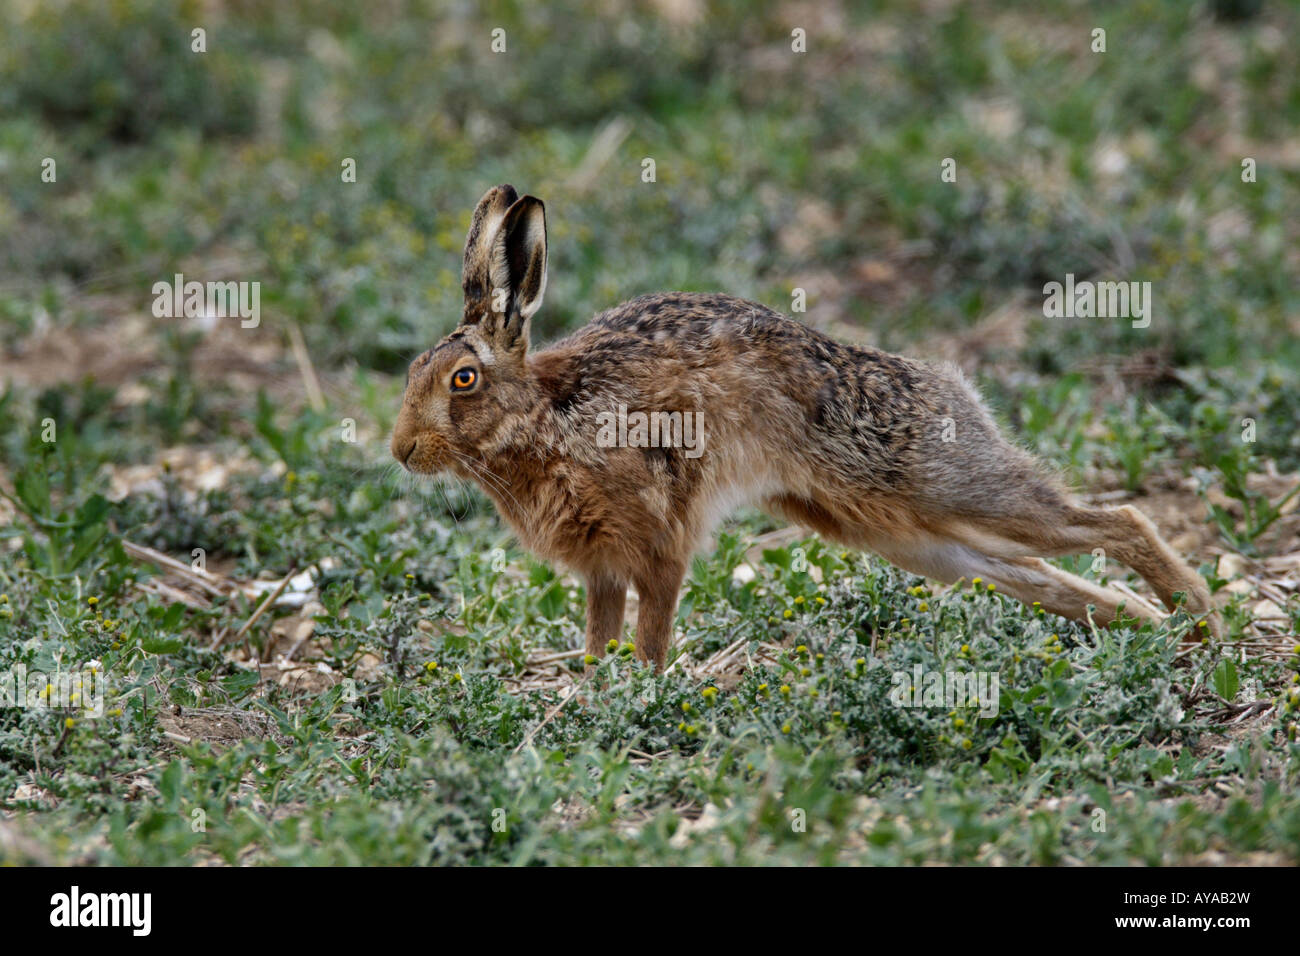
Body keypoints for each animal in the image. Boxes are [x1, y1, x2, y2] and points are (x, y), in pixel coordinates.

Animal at [391, 184, 1220, 670]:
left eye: (462, 380)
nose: (401, 451)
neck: (540, 417)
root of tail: (951, 387)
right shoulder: (601, 567)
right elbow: (600, 637)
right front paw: (594, 696)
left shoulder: (658, 542)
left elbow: (651, 627)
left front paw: (643, 693)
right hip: (906, 534)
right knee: (1034, 573)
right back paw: (1145, 624)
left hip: (943, 487)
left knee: (1116, 520)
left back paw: (1200, 618)